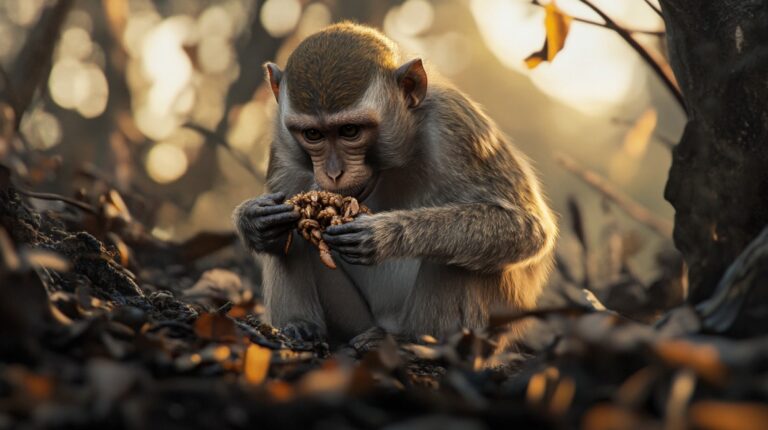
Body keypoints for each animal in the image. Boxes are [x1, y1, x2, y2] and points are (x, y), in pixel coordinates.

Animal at [233, 22, 557, 350]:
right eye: (313, 134)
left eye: (350, 130)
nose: (334, 173)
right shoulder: (283, 147)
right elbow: (282, 230)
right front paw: (255, 222)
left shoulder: (456, 126)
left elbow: (527, 227)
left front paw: (385, 234)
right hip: (355, 322)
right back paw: (302, 327)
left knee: (458, 257)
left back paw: (419, 344)